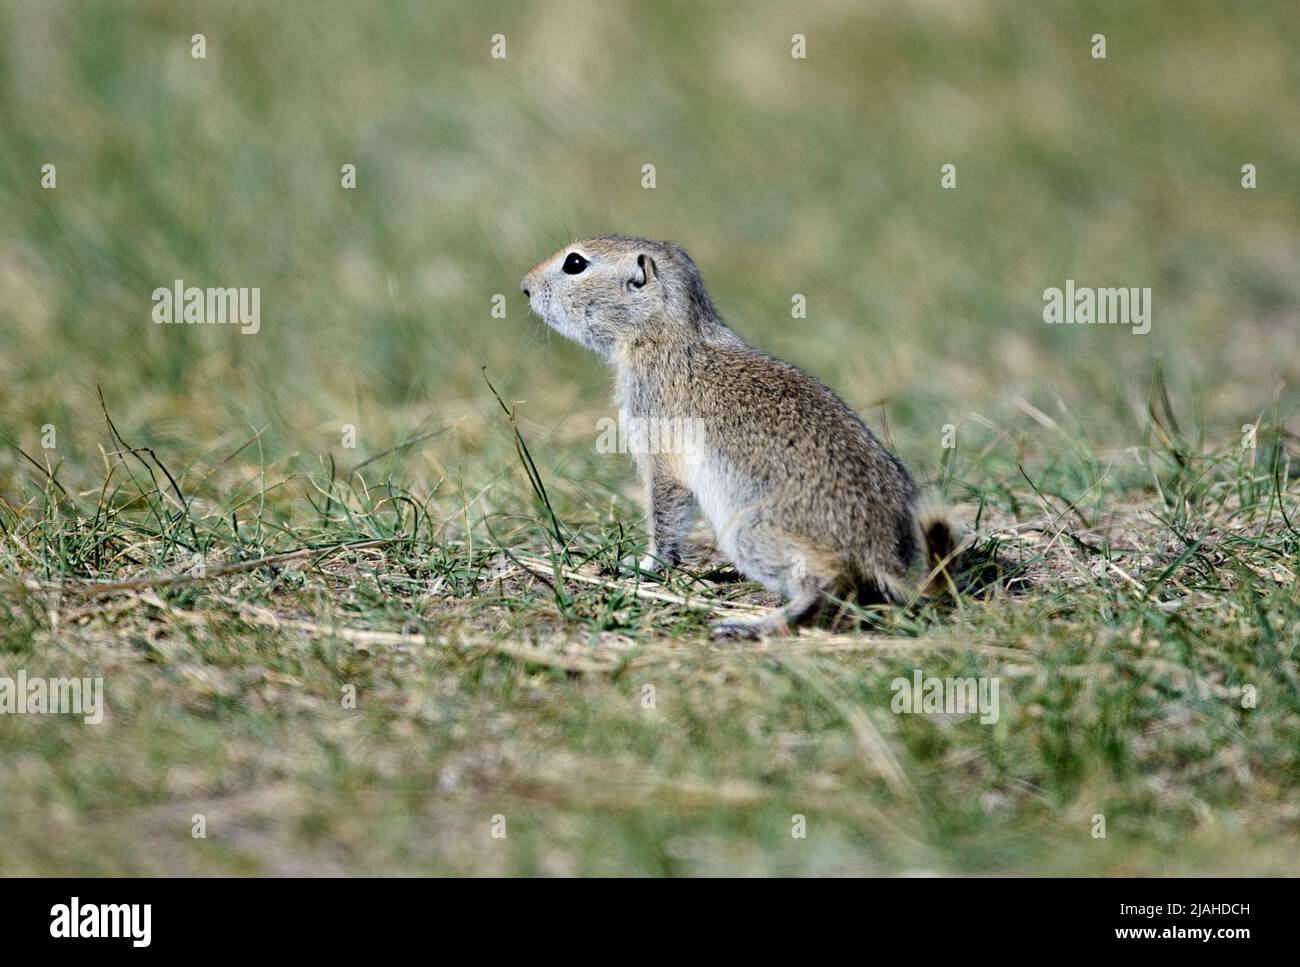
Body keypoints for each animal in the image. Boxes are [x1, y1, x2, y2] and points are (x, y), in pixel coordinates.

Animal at [521, 234, 964, 639]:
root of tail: (882, 555)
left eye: (575, 263)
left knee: (825, 585)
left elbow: (665, 512)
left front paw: (643, 566)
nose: (525, 286)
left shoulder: (658, 444)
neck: (668, 335)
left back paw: (747, 626)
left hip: (749, 532)